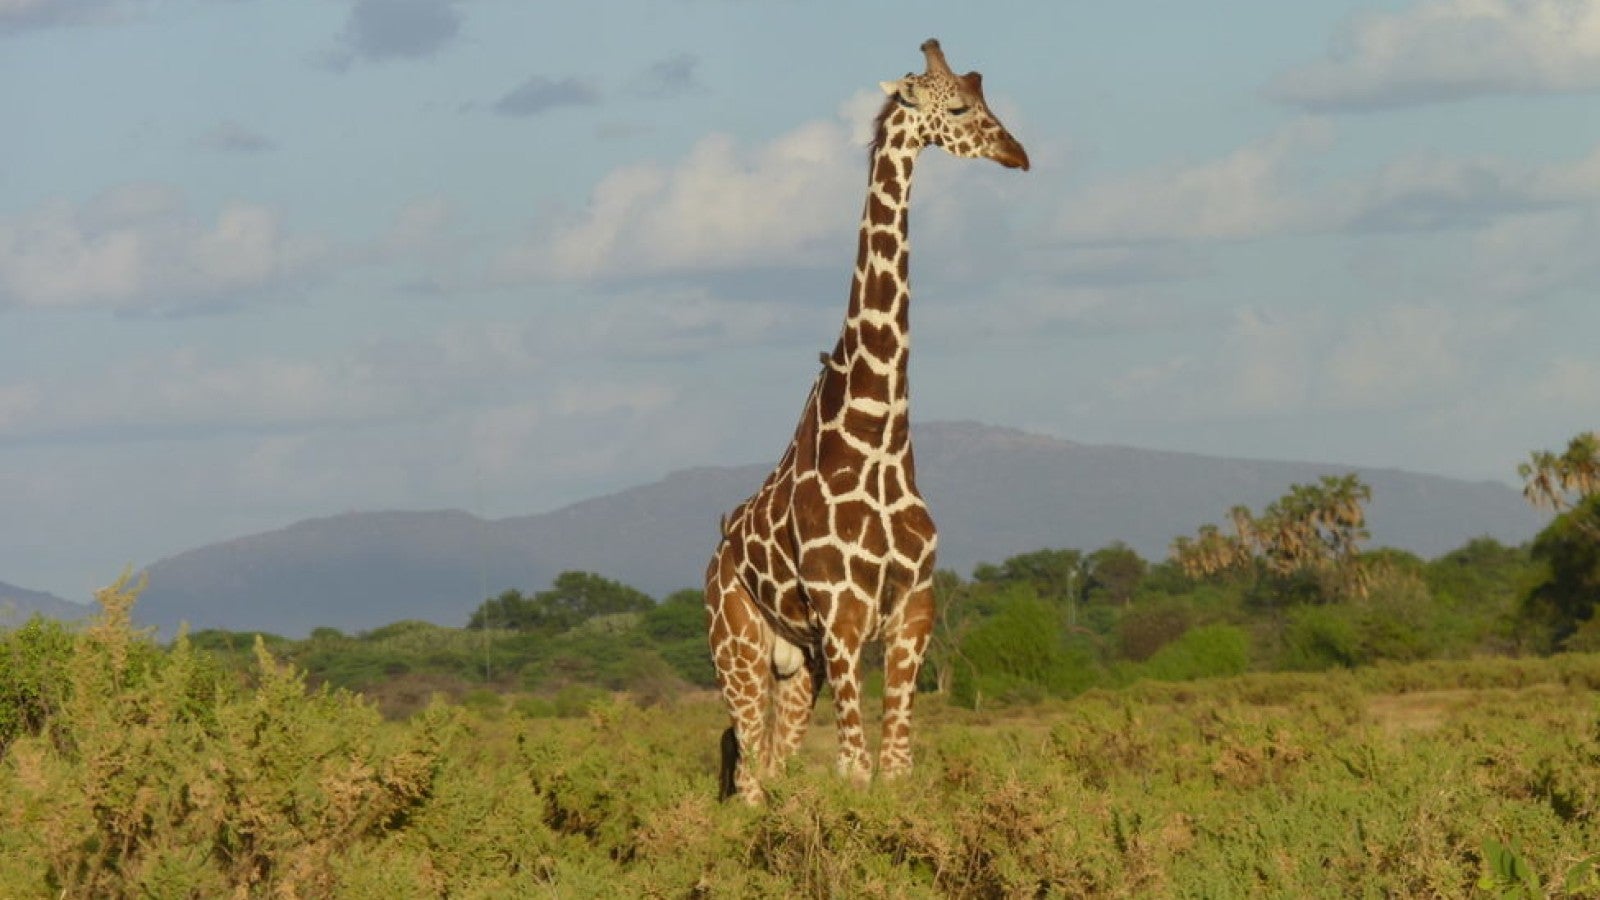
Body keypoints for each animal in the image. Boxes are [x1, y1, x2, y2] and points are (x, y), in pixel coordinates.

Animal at [705, 39, 1029, 804]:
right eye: (959, 107)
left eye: (984, 96)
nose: (1017, 153)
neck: (878, 440)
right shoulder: (844, 617)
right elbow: (855, 771)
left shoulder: (912, 612)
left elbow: (897, 766)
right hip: (737, 650)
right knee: (749, 778)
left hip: (799, 665)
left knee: (770, 765)